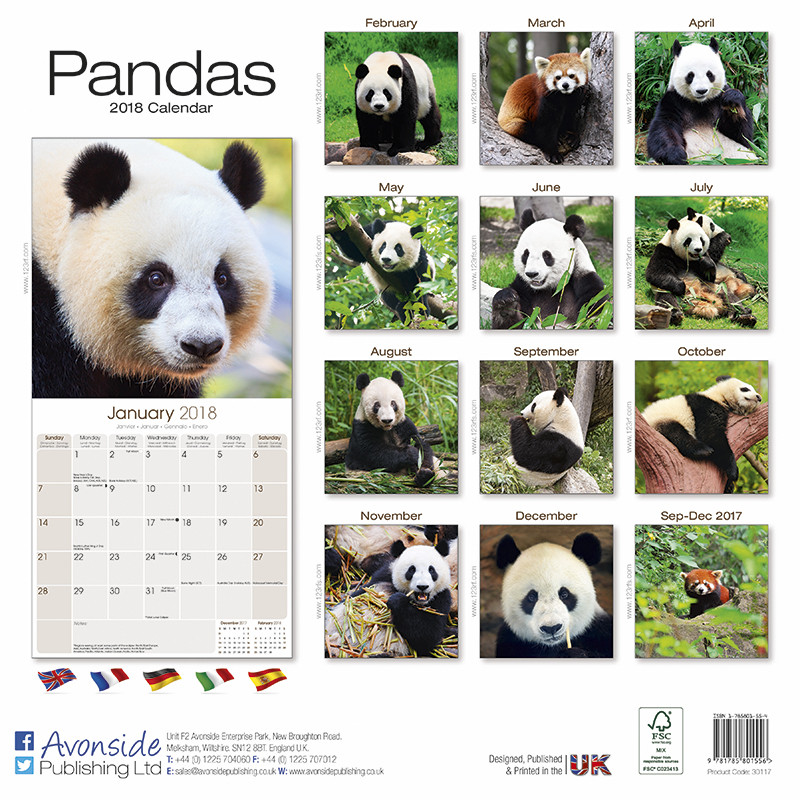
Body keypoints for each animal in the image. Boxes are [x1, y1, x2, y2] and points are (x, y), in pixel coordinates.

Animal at [325, 536, 456, 657]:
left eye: (431, 570)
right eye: (411, 570)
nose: (422, 586)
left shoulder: (442, 598)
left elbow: (427, 635)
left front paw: (397, 601)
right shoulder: (384, 574)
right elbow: (358, 593)